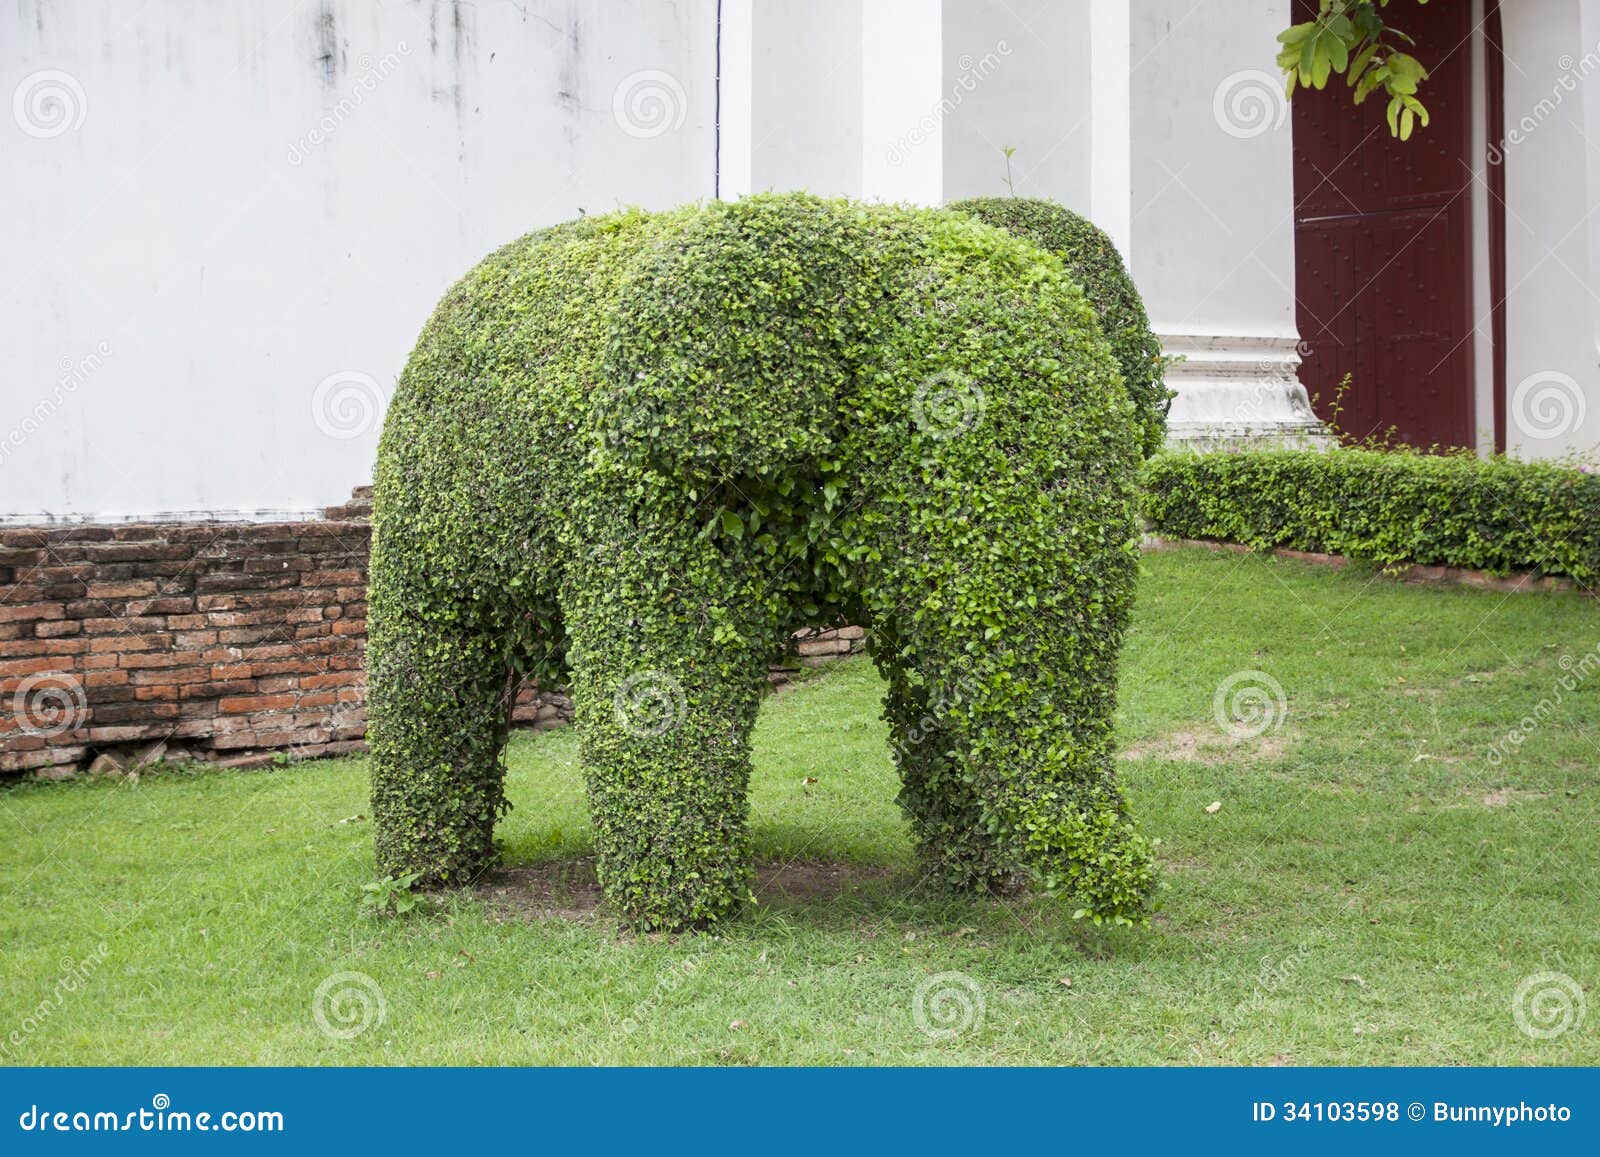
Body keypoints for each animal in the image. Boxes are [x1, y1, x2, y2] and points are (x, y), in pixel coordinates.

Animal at [367, 193, 1159, 931]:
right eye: (935, 422)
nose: (1139, 896)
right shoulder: (640, 493)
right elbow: (667, 676)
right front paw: (685, 917)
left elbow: (926, 675)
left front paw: (978, 886)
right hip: (423, 509)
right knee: (431, 662)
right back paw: (428, 878)